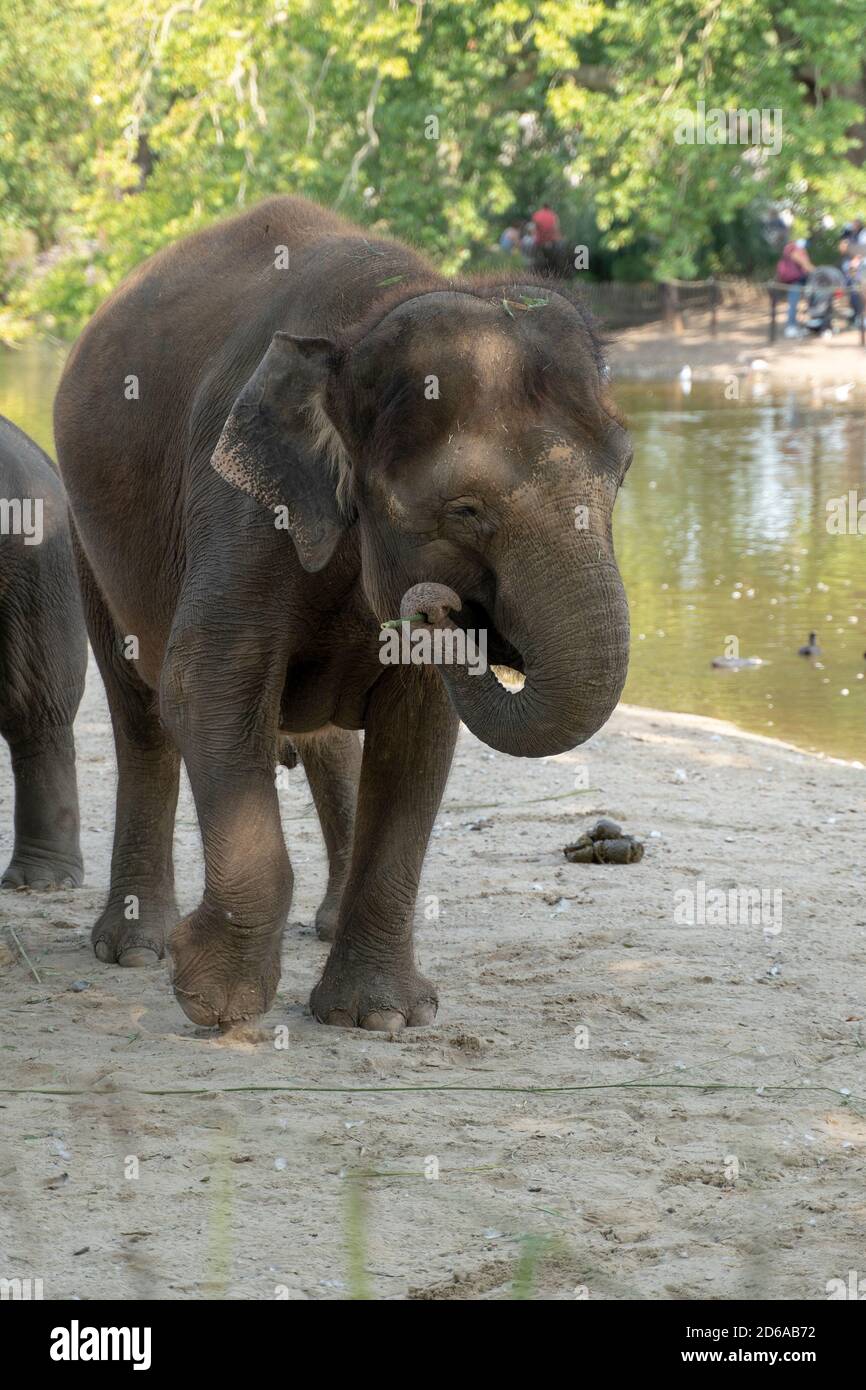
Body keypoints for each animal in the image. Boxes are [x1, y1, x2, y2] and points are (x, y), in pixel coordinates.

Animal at [54, 194, 631, 1031]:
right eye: (463, 510)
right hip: (88, 535)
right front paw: (215, 1002)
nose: (439, 610)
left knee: (324, 739)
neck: (366, 321)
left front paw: (380, 1019)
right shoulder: (238, 505)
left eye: (623, 475)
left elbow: (417, 739)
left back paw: (321, 924)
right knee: (142, 715)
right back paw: (134, 948)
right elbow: (208, 688)